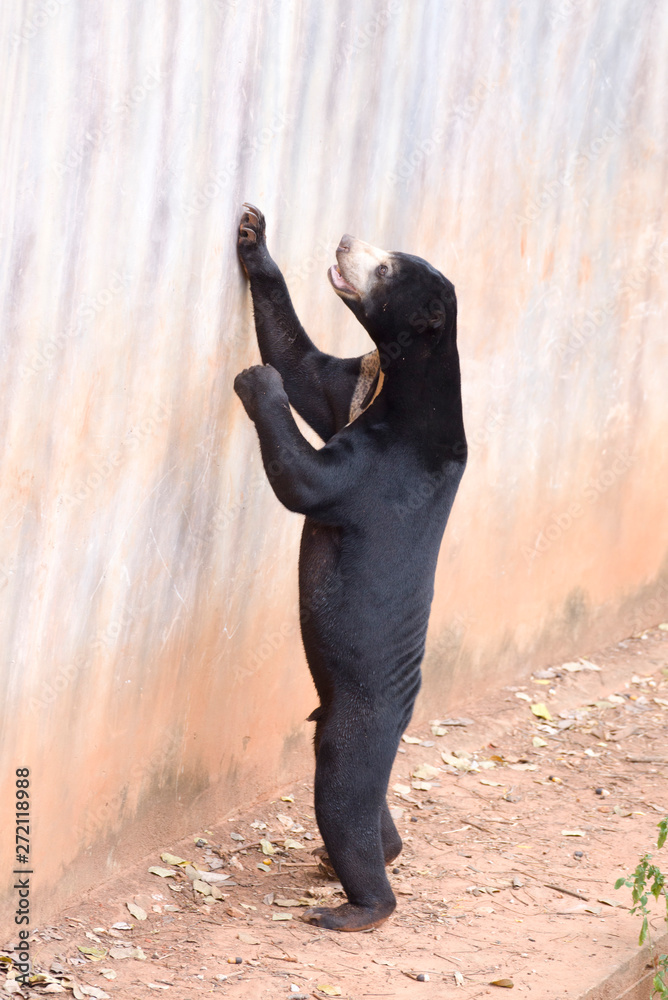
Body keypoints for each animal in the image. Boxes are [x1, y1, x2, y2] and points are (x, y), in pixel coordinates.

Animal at [234, 203, 466, 931]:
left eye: (386, 269)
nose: (342, 238)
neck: (398, 378)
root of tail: (403, 716)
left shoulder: (378, 468)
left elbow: (305, 480)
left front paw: (254, 382)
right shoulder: (350, 387)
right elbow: (301, 363)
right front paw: (252, 233)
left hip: (354, 726)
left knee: (343, 795)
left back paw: (351, 909)